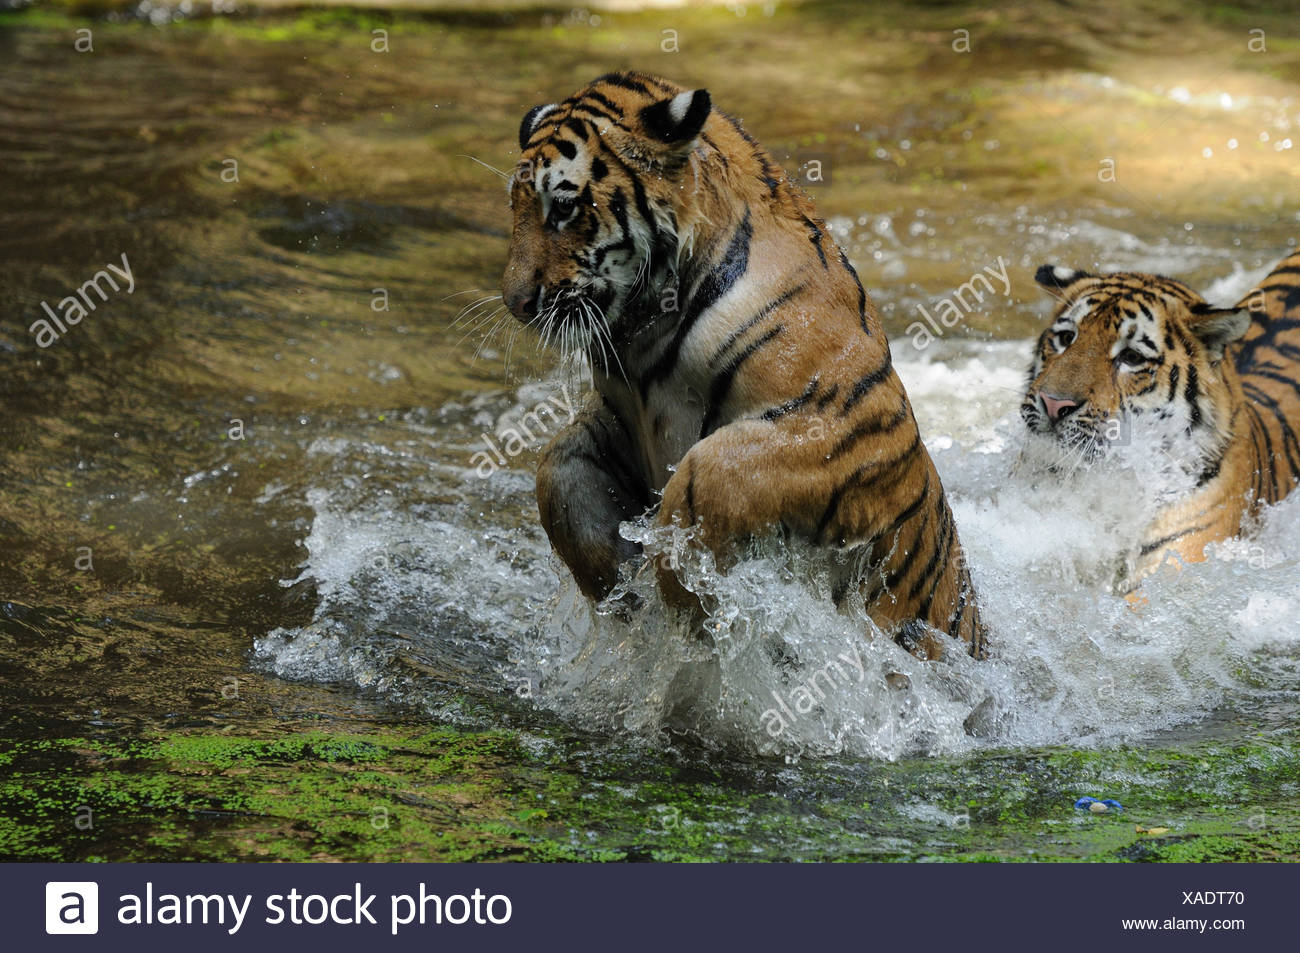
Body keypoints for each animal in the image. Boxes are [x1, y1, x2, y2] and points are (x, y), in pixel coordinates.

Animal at [500, 71, 985, 659]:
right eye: (517, 207)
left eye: (564, 209)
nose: (515, 302)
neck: (642, 339)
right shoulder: (619, 416)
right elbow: (557, 469)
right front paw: (618, 587)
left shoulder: (830, 427)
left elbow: (707, 473)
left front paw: (689, 603)